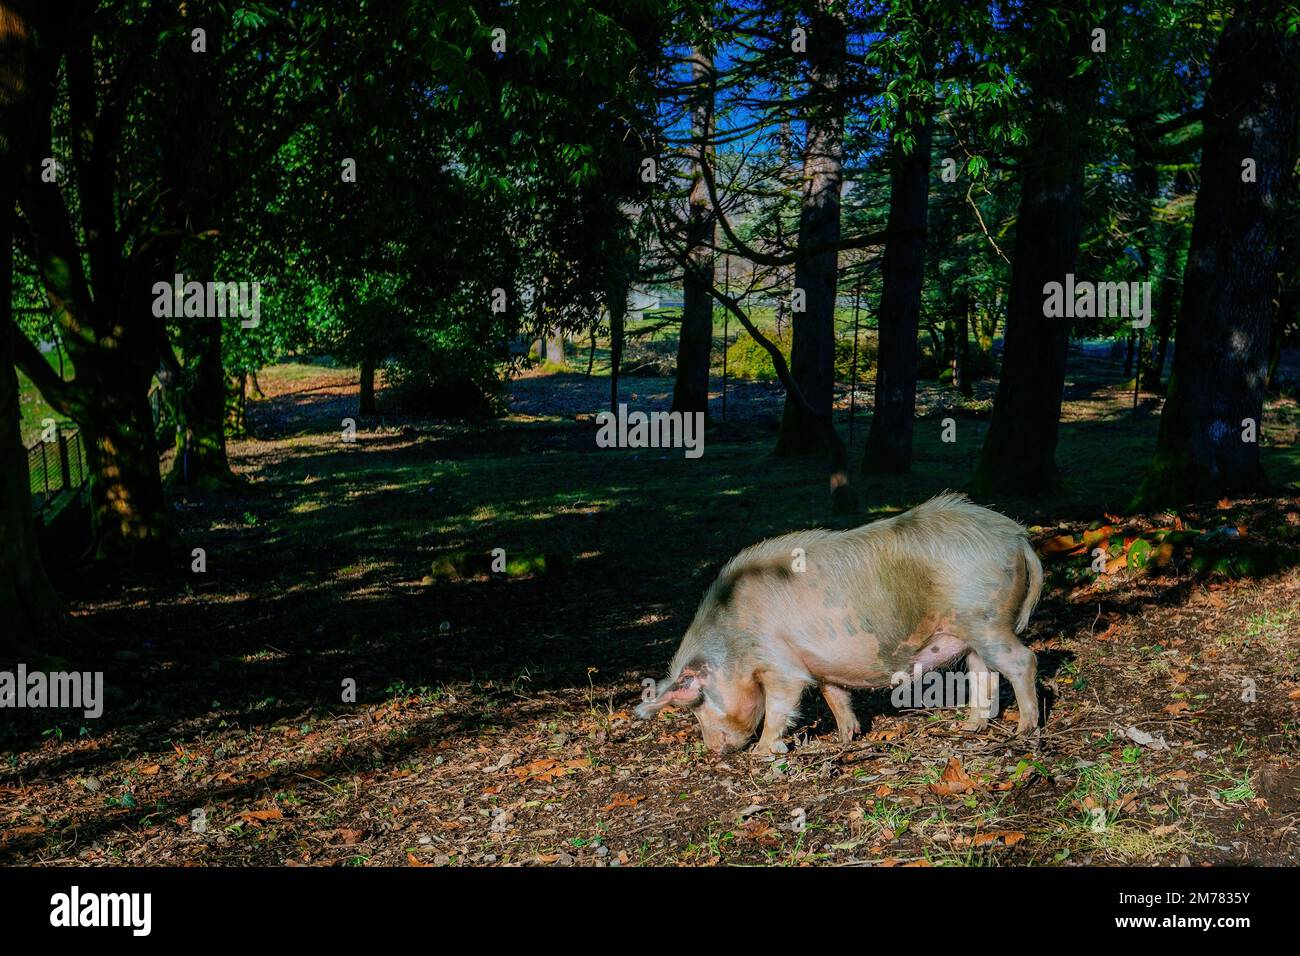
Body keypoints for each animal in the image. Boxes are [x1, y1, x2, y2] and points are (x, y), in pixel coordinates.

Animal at [635, 493, 1043, 754]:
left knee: (1023, 661)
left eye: (699, 703)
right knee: (982, 673)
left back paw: (1025, 729)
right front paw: (846, 738)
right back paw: (970, 727)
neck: (734, 640)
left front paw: (763, 752)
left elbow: (780, 706)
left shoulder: (781, 667)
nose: (713, 752)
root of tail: (1017, 537)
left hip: (986, 620)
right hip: (970, 632)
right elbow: (835, 697)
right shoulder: (820, 665)